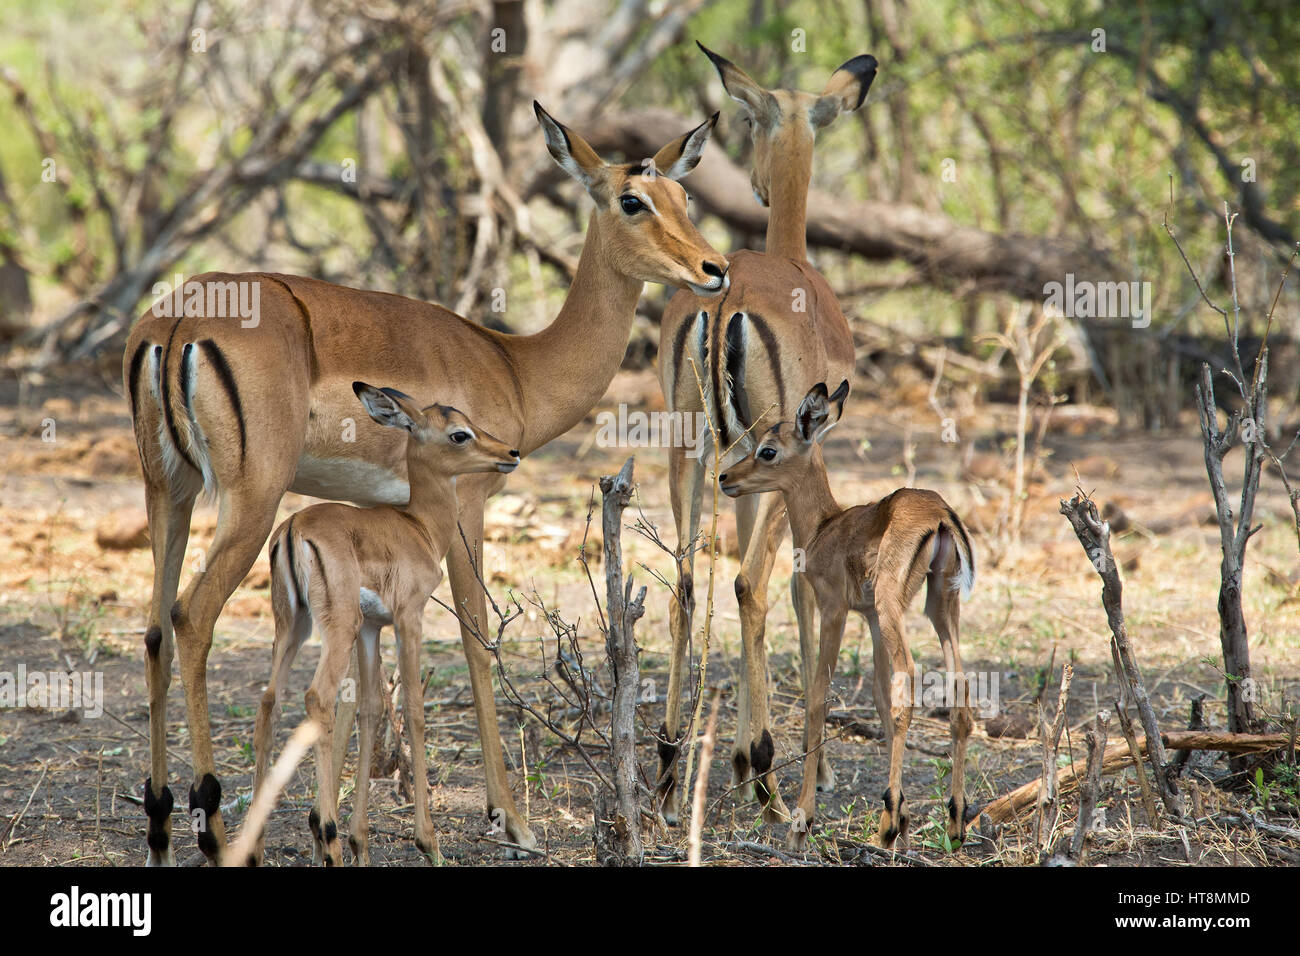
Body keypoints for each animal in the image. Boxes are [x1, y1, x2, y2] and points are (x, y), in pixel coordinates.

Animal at [250, 383, 520, 866]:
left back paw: (258, 845)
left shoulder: (372, 628)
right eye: (459, 434)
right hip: (335, 628)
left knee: (270, 701)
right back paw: (328, 837)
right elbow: (413, 709)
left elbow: (371, 709)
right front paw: (427, 842)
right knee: (316, 698)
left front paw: (362, 840)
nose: (510, 453)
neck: (420, 528)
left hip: (293, 627)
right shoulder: (409, 618)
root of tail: (295, 526)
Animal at [655, 43, 877, 824]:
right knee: (751, 582)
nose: (753, 185)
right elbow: (799, 585)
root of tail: (731, 302)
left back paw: (668, 769)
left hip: (690, 455)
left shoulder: (743, 472)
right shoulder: (796, 459)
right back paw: (769, 780)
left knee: (685, 582)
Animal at [719, 382, 976, 850]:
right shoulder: (869, 620)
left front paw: (802, 819)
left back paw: (889, 822)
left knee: (910, 679)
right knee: (960, 691)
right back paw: (952, 821)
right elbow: (878, 698)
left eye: (768, 450)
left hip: (895, 607)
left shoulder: (834, 611)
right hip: (939, 605)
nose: (726, 478)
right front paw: (901, 819)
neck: (826, 526)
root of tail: (941, 514)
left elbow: (818, 697)